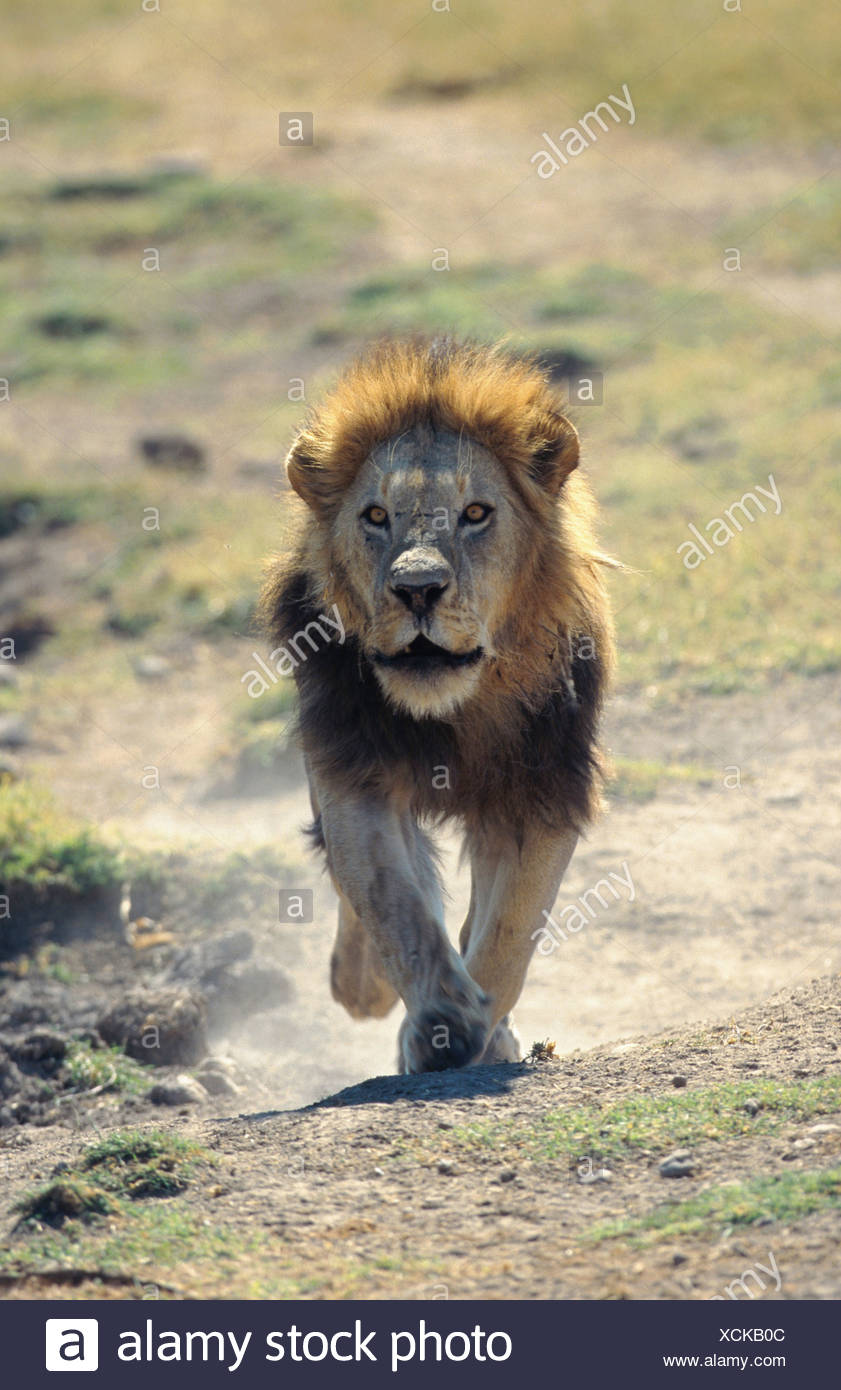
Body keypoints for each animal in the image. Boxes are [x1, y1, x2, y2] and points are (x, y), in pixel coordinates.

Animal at [259, 337, 615, 1073]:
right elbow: (392, 901)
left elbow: (511, 928)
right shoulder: (354, 775)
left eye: (476, 513)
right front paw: (439, 1026)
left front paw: (480, 1030)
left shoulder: (544, 788)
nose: (417, 588)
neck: (456, 708)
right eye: (375, 517)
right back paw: (363, 984)